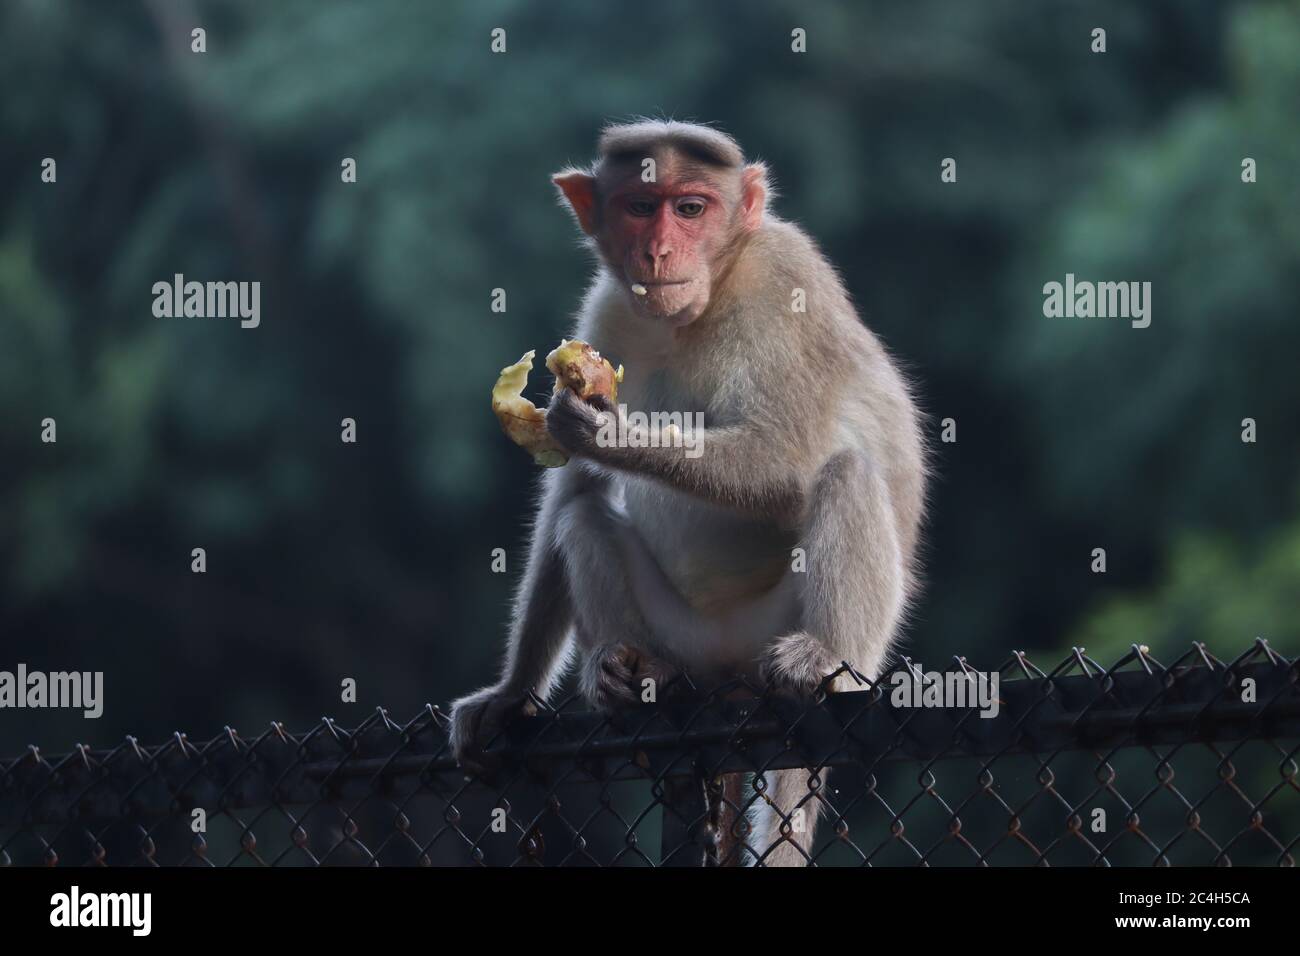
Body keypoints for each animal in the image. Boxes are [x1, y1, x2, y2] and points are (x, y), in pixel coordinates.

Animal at [449, 120, 926, 866]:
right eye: (643, 207)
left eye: (693, 208)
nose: (659, 251)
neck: (705, 297)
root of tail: (730, 671)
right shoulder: (607, 305)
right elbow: (572, 491)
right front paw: (510, 694)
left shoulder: (787, 278)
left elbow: (787, 459)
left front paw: (604, 429)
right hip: (689, 641)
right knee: (583, 518)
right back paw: (633, 672)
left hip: (778, 631)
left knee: (845, 471)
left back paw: (824, 660)